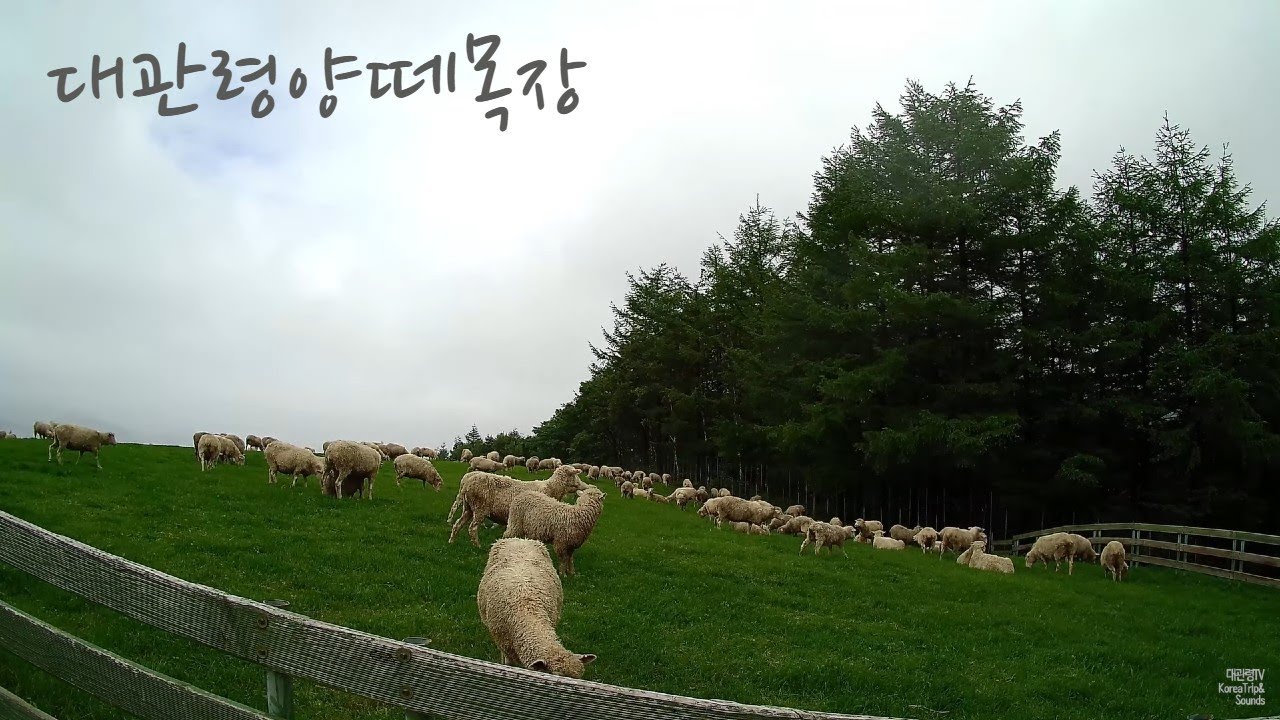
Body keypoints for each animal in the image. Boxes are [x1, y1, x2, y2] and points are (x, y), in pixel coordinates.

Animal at [448, 466, 588, 547]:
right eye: (576, 475)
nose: (585, 486)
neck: (551, 489)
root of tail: (467, 484)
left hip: (468, 508)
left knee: (458, 524)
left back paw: (452, 542)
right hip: (480, 508)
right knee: (472, 528)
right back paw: (477, 546)